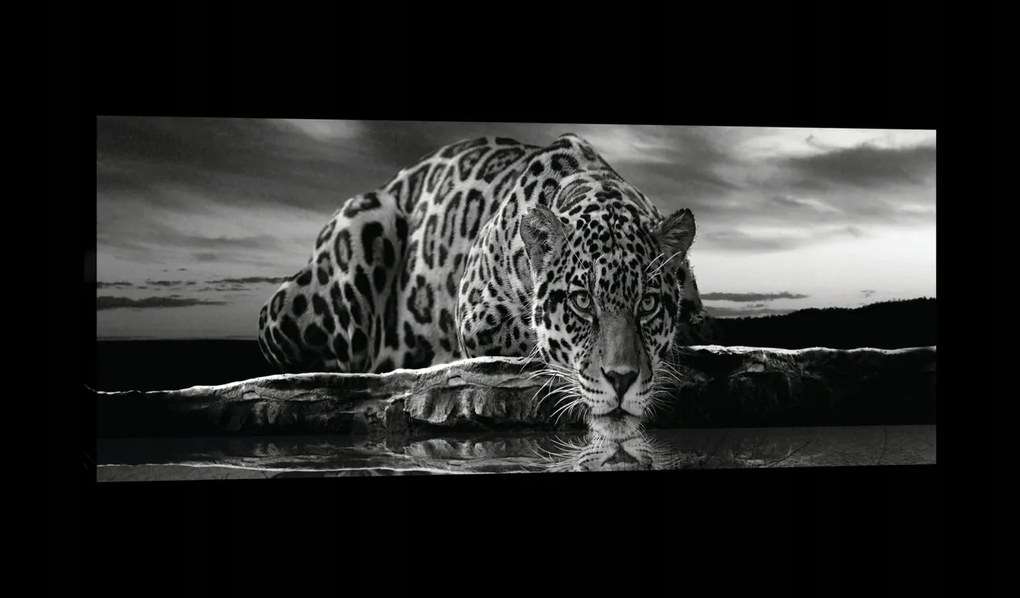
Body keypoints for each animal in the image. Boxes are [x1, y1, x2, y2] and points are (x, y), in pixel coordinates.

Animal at [257, 133, 714, 422]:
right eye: (582, 302)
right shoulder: (478, 316)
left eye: (648, 303)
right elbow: (536, 336)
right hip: (365, 221)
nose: (622, 380)